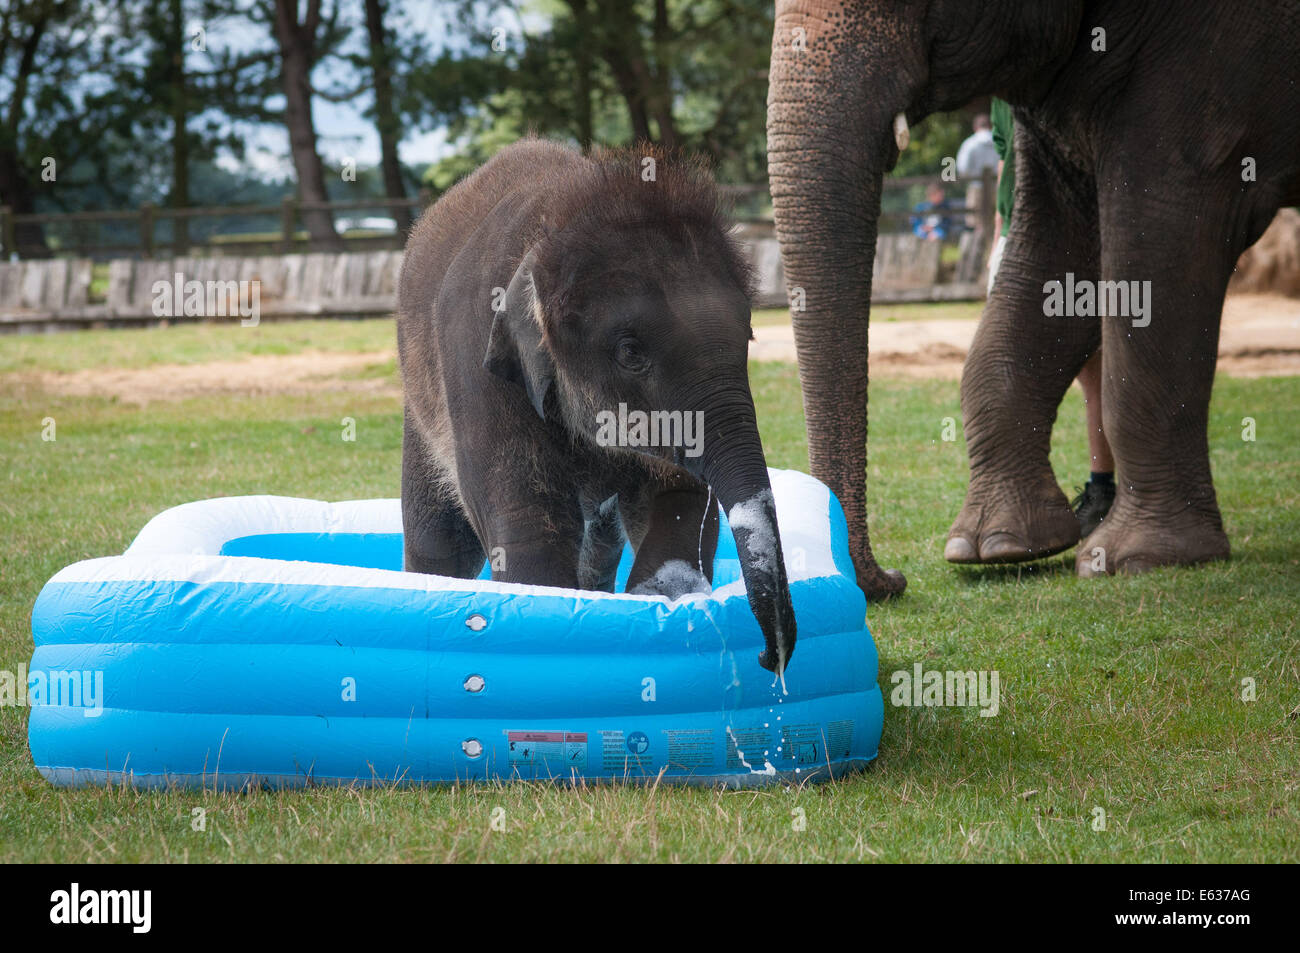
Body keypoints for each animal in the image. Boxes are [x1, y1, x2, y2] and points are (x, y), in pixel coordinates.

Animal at [397, 139, 797, 672]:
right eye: (630, 352)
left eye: (750, 335)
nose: (769, 656)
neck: (557, 217)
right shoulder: (476, 366)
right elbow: (529, 531)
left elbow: (678, 498)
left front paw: (658, 603)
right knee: (442, 540)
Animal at [767, 0, 1300, 596]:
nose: (890, 580)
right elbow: (1060, 260)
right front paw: (996, 546)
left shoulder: (1209, 63)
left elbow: (1159, 246)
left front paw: (1140, 558)